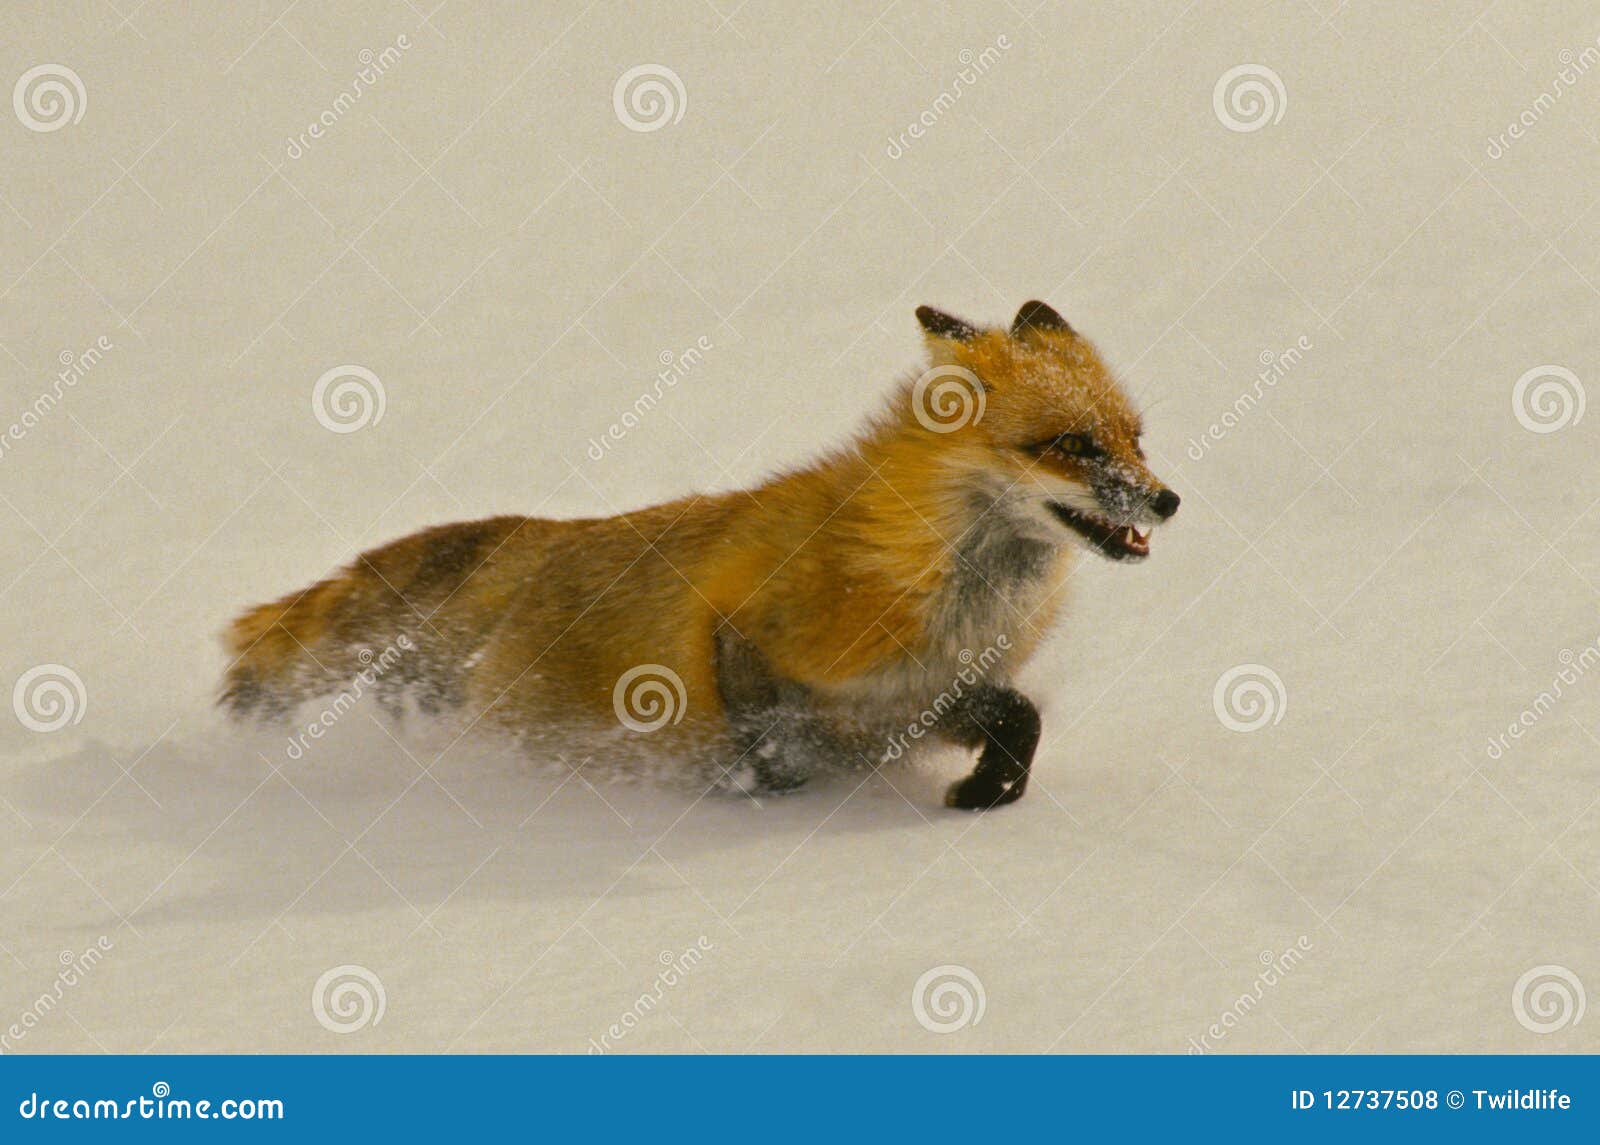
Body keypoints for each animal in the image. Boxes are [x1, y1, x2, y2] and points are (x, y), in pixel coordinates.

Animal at [221, 300, 1178, 809]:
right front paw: (761, 794)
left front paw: (989, 792)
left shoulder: (919, 692)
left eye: (1134, 439)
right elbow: (764, 737)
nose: (1167, 499)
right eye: (1073, 445)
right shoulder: (754, 633)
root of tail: (534, 534)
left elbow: (1021, 716)